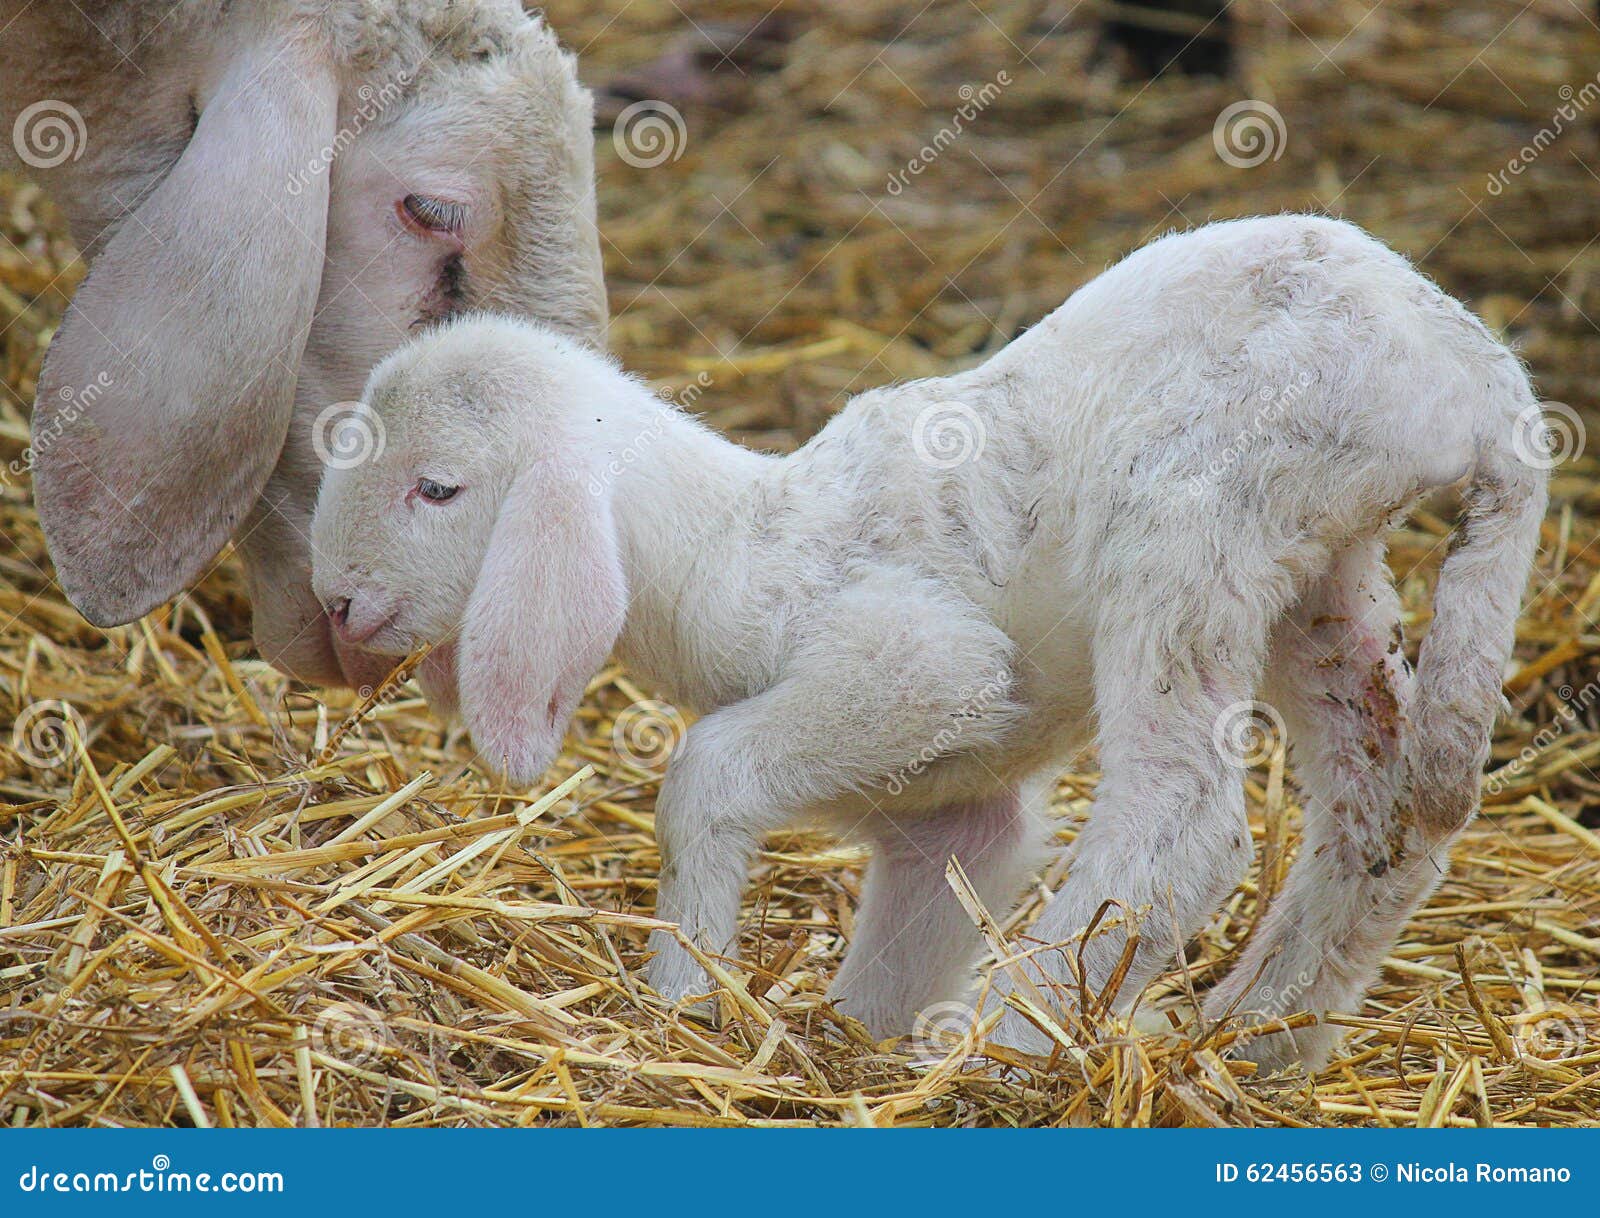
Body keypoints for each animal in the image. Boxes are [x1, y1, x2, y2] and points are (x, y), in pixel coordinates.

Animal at [308, 214, 1547, 1070]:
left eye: (436, 487)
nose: (335, 605)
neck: (738, 545)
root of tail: (1473, 374)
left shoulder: (915, 665)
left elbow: (707, 772)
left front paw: (682, 1002)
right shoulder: (951, 806)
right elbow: (932, 900)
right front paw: (853, 1042)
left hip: (1197, 526)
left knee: (1184, 820)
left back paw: (1009, 1040)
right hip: (1321, 569)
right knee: (1385, 808)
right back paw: (1265, 1032)